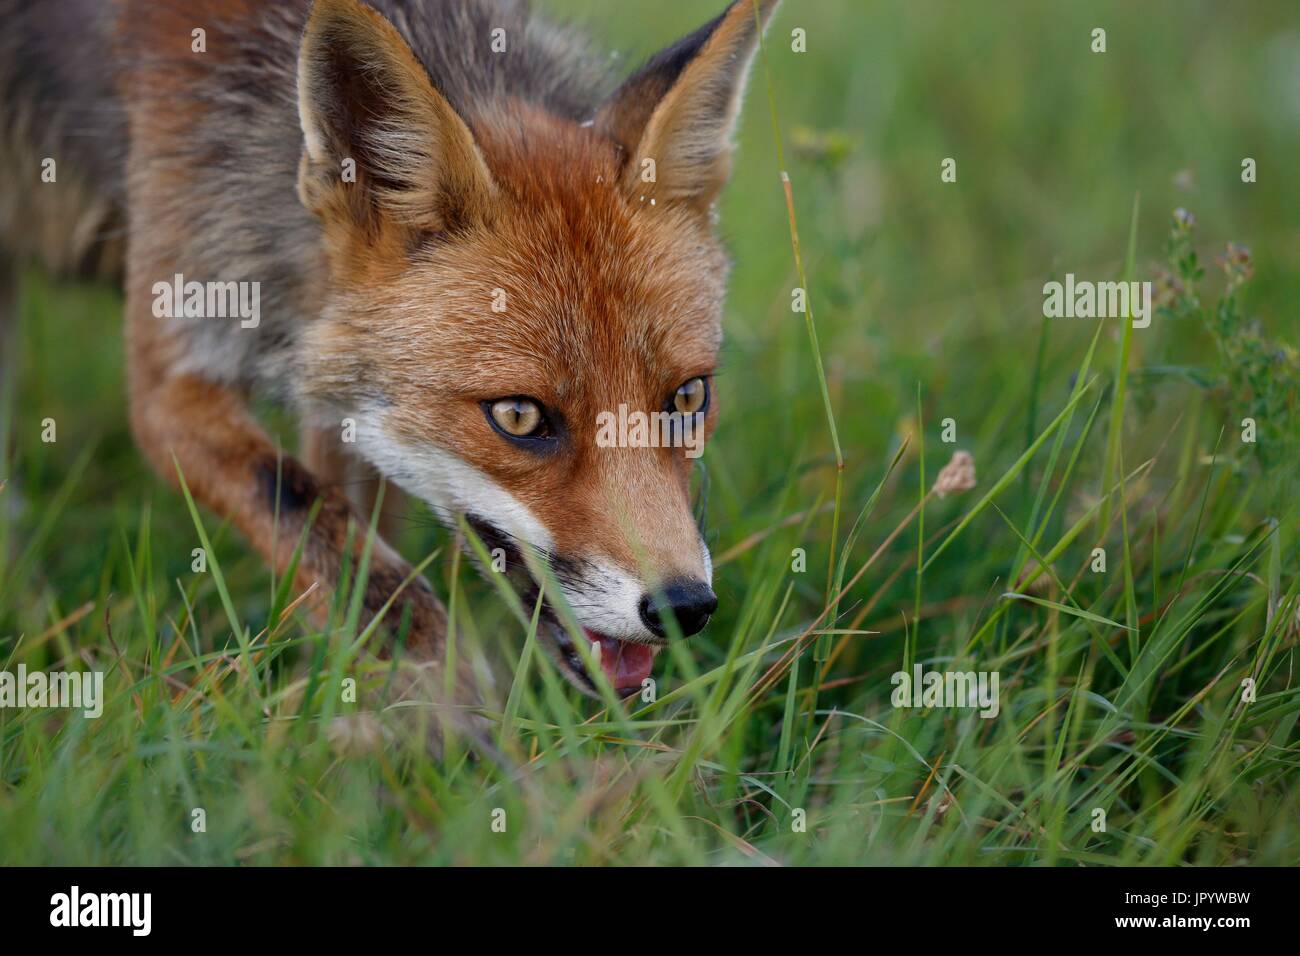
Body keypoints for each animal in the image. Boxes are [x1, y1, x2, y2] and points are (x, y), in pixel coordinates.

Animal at [0, 0, 779, 700]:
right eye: (519, 417)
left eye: (688, 398)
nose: (683, 607)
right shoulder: (172, 375)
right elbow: (335, 543)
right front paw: (451, 729)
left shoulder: (339, 390)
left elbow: (345, 540)